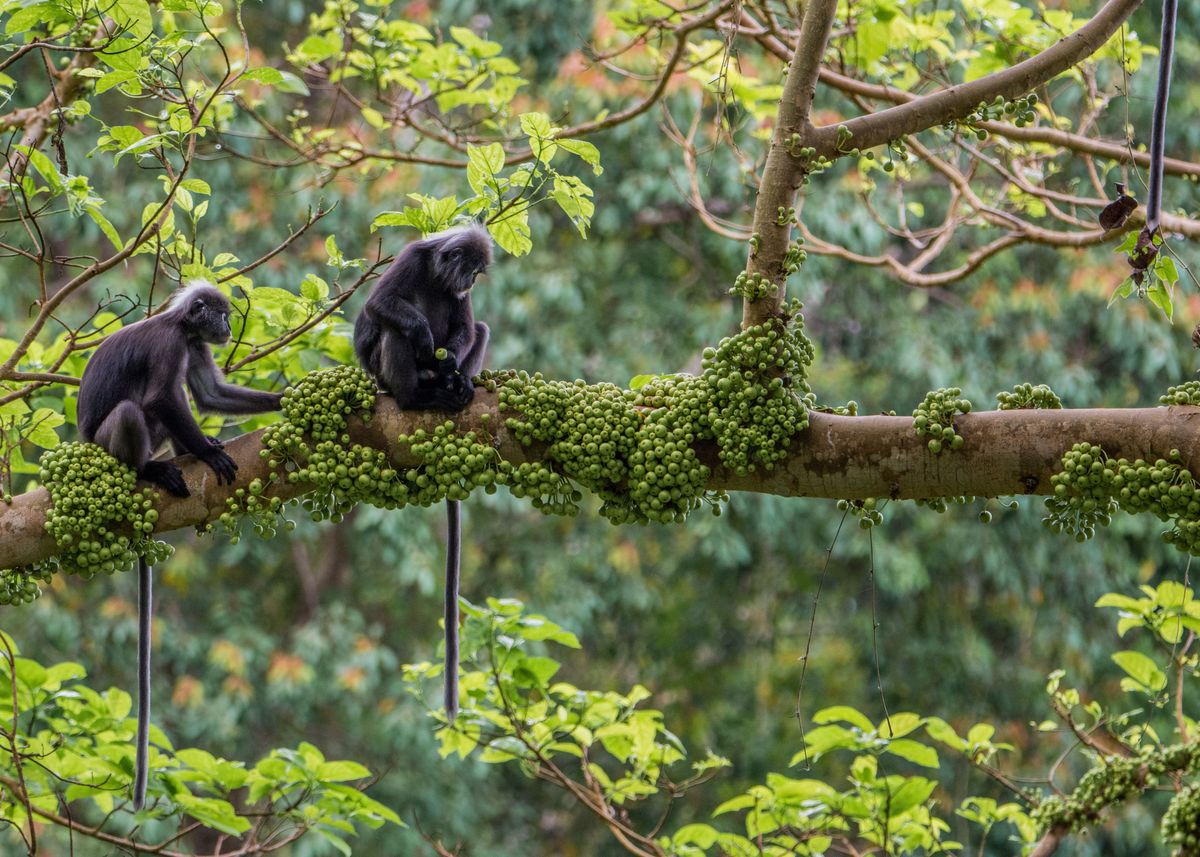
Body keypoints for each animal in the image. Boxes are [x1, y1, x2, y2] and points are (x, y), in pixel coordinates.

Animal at [77, 280, 282, 809]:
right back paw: (153, 468)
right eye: (223, 314)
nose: (228, 326)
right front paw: (209, 452)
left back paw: (182, 455)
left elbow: (210, 393)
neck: (182, 328)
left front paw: (287, 396)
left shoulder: (195, 346)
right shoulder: (172, 346)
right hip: (108, 446)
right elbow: (164, 397)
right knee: (138, 408)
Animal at [353, 224, 492, 721]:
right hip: (387, 377)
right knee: (393, 332)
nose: (469, 282)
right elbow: (378, 306)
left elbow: (468, 326)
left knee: (479, 329)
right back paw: (421, 393)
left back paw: (457, 387)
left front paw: (451, 364)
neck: (436, 274)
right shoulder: (412, 259)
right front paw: (422, 335)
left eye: (478, 272)